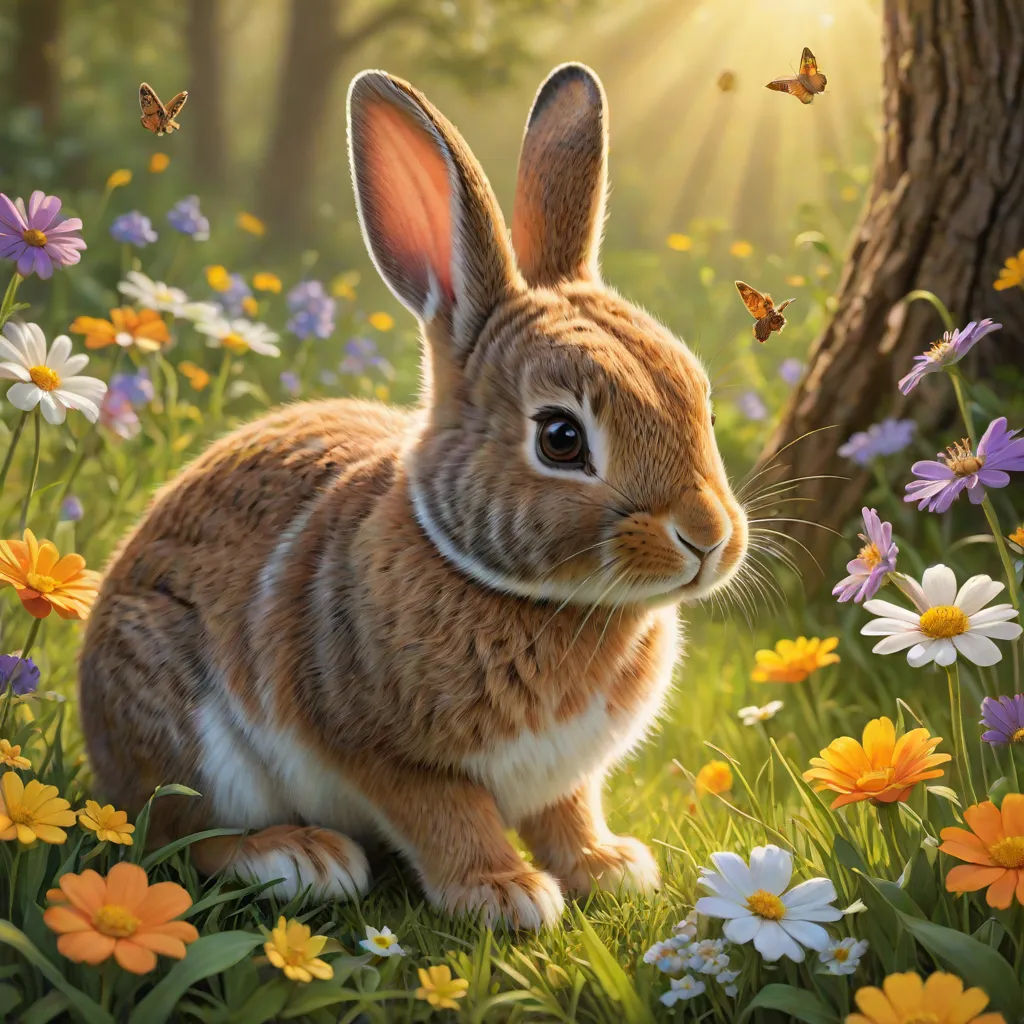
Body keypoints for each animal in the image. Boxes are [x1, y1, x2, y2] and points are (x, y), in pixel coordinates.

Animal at [78, 62, 748, 931]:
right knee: (178, 836)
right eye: (561, 438)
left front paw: (608, 867)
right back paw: (300, 858)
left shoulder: (565, 777)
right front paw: (505, 894)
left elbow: (568, 812)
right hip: (183, 726)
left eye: (701, 403)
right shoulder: (383, 752)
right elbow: (446, 816)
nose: (707, 536)